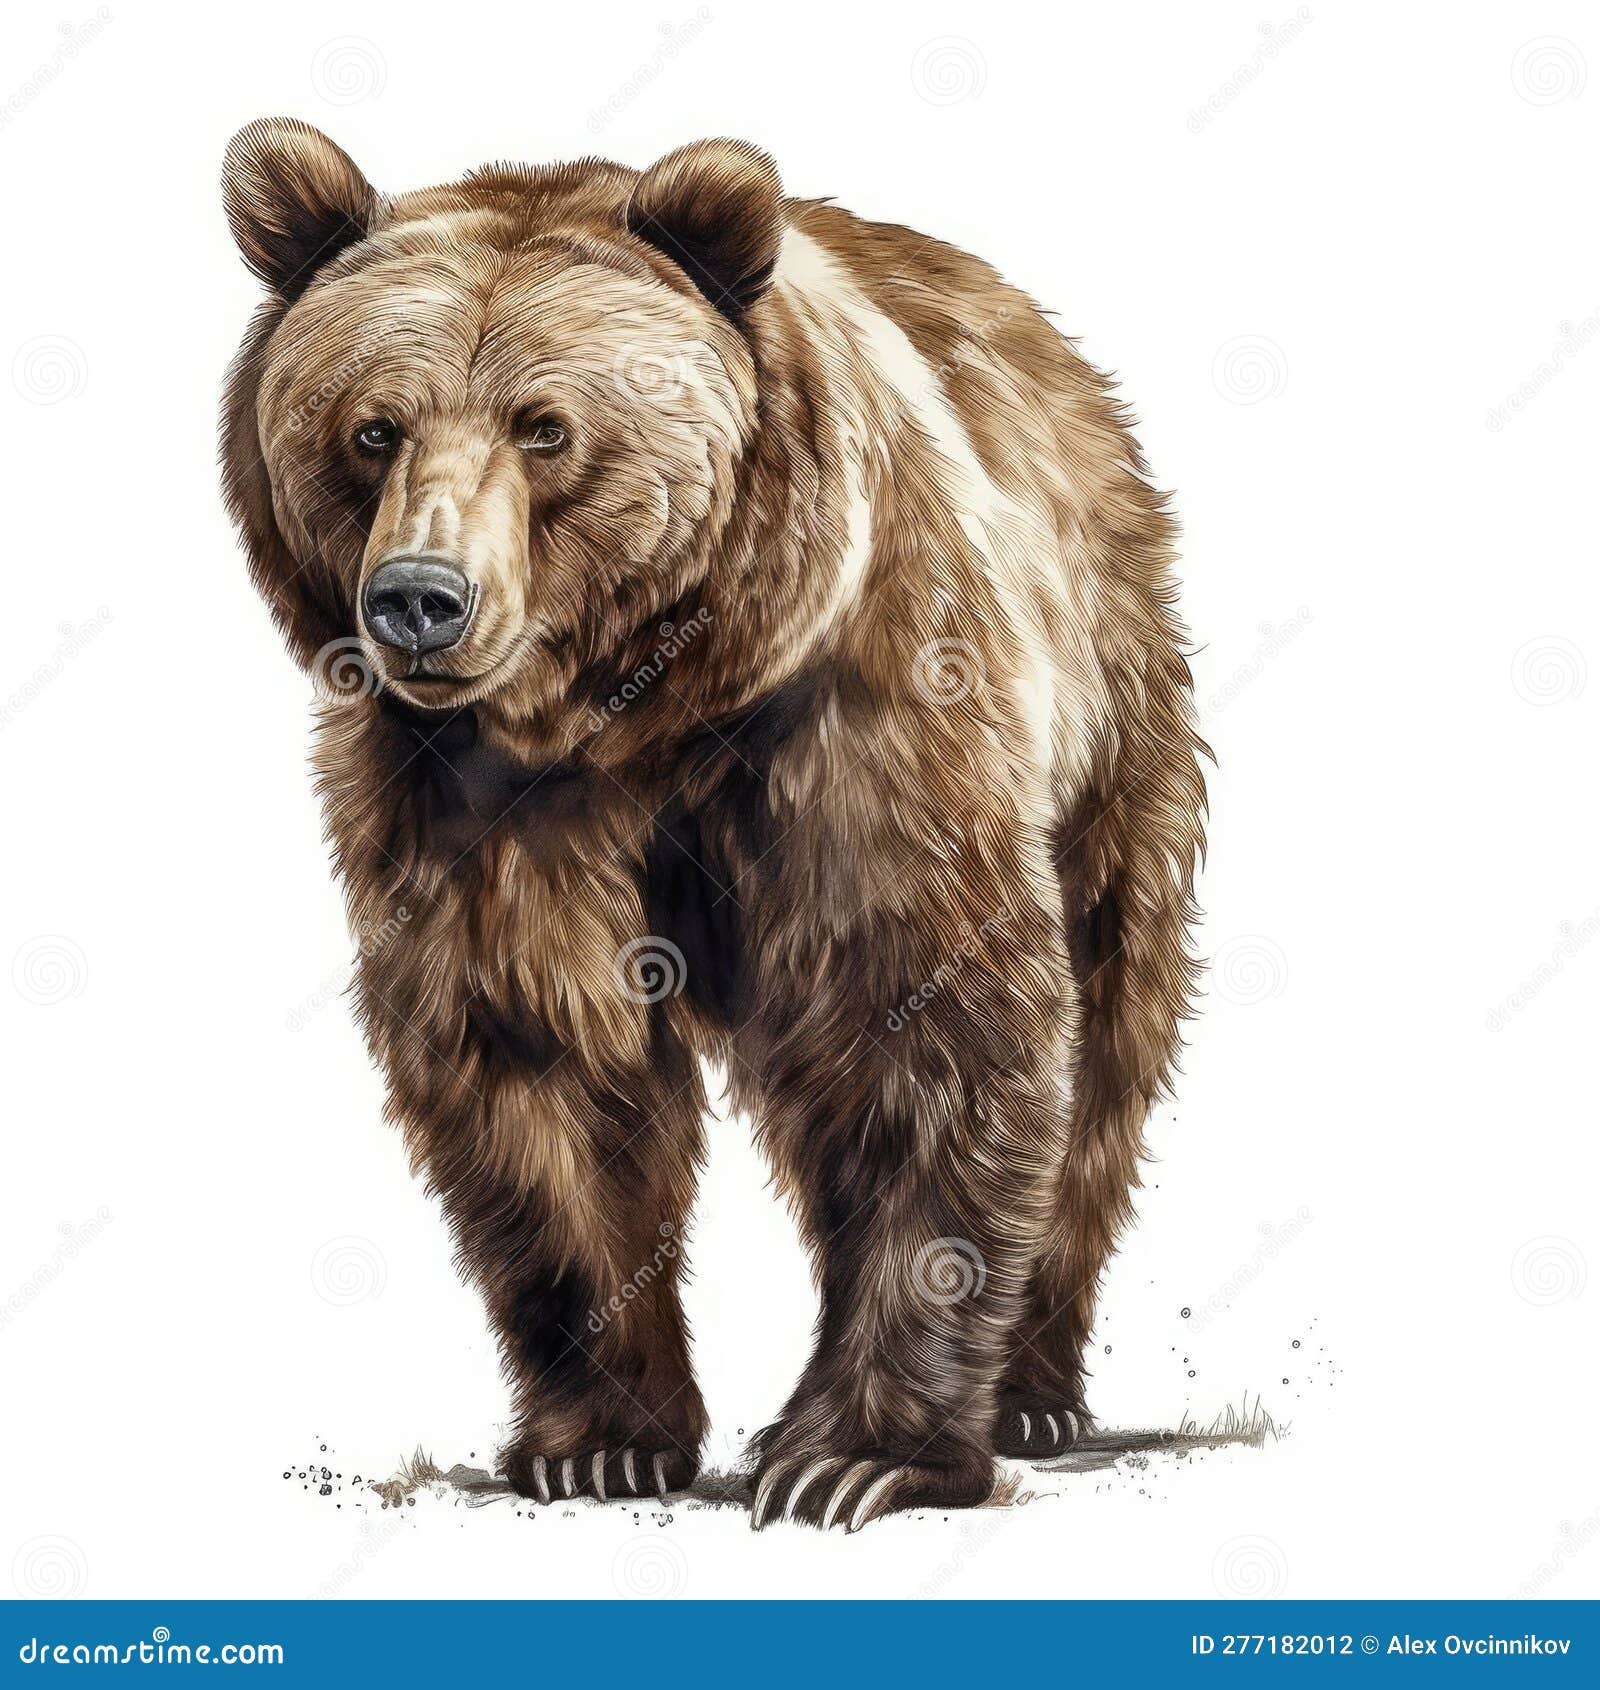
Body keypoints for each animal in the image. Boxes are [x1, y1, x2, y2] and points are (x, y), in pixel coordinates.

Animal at [220, 118, 1207, 1531]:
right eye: (371, 425)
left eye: (545, 427)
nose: (419, 597)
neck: (628, 712)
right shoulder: (473, 799)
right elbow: (536, 1054)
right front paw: (599, 1439)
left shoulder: (856, 703)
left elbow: (922, 1008)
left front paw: (852, 1455)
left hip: (1110, 698)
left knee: (1113, 1013)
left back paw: (1035, 1388)